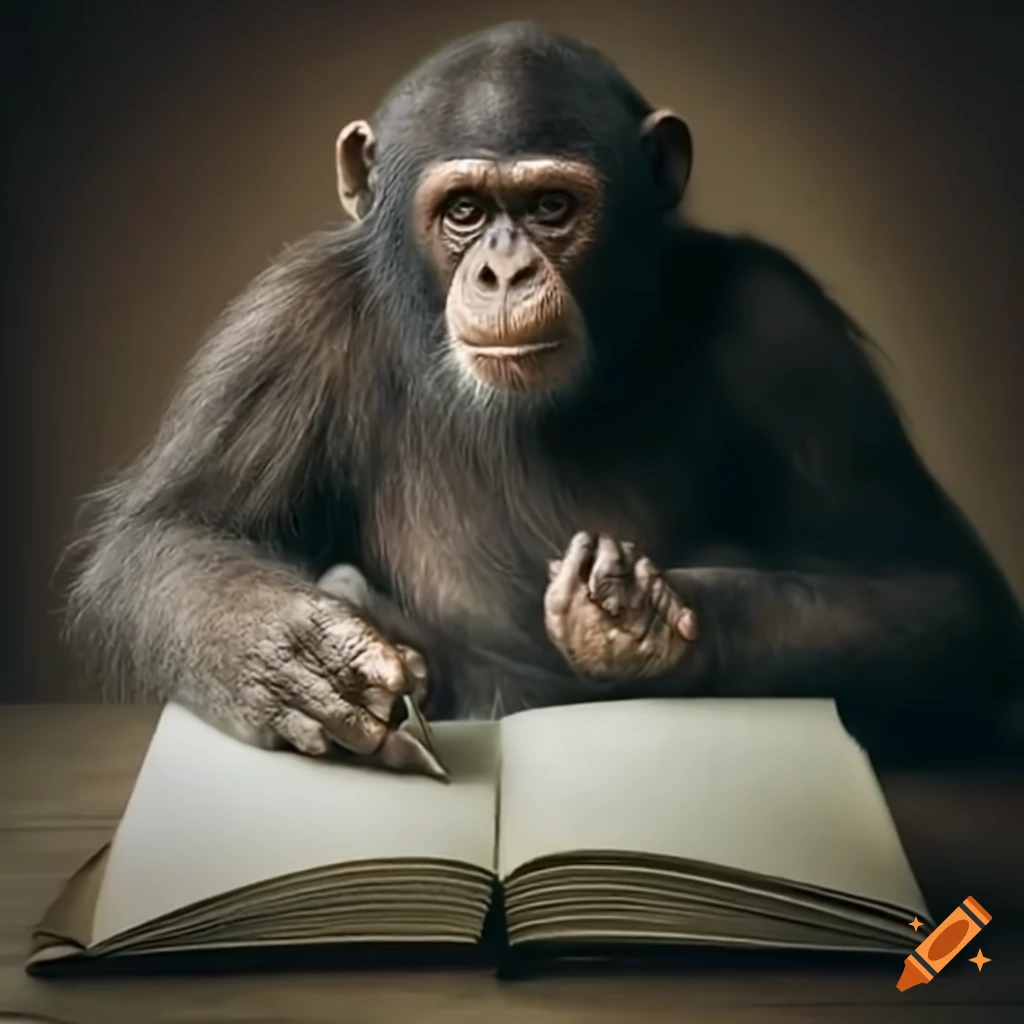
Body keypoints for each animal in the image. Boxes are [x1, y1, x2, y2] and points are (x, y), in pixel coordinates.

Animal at [65, 22, 1024, 775]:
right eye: (463, 210)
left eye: (552, 205)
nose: (504, 268)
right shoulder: (285, 325)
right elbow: (171, 531)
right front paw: (305, 659)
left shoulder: (787, 333)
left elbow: (935, 590)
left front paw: (644, 622)